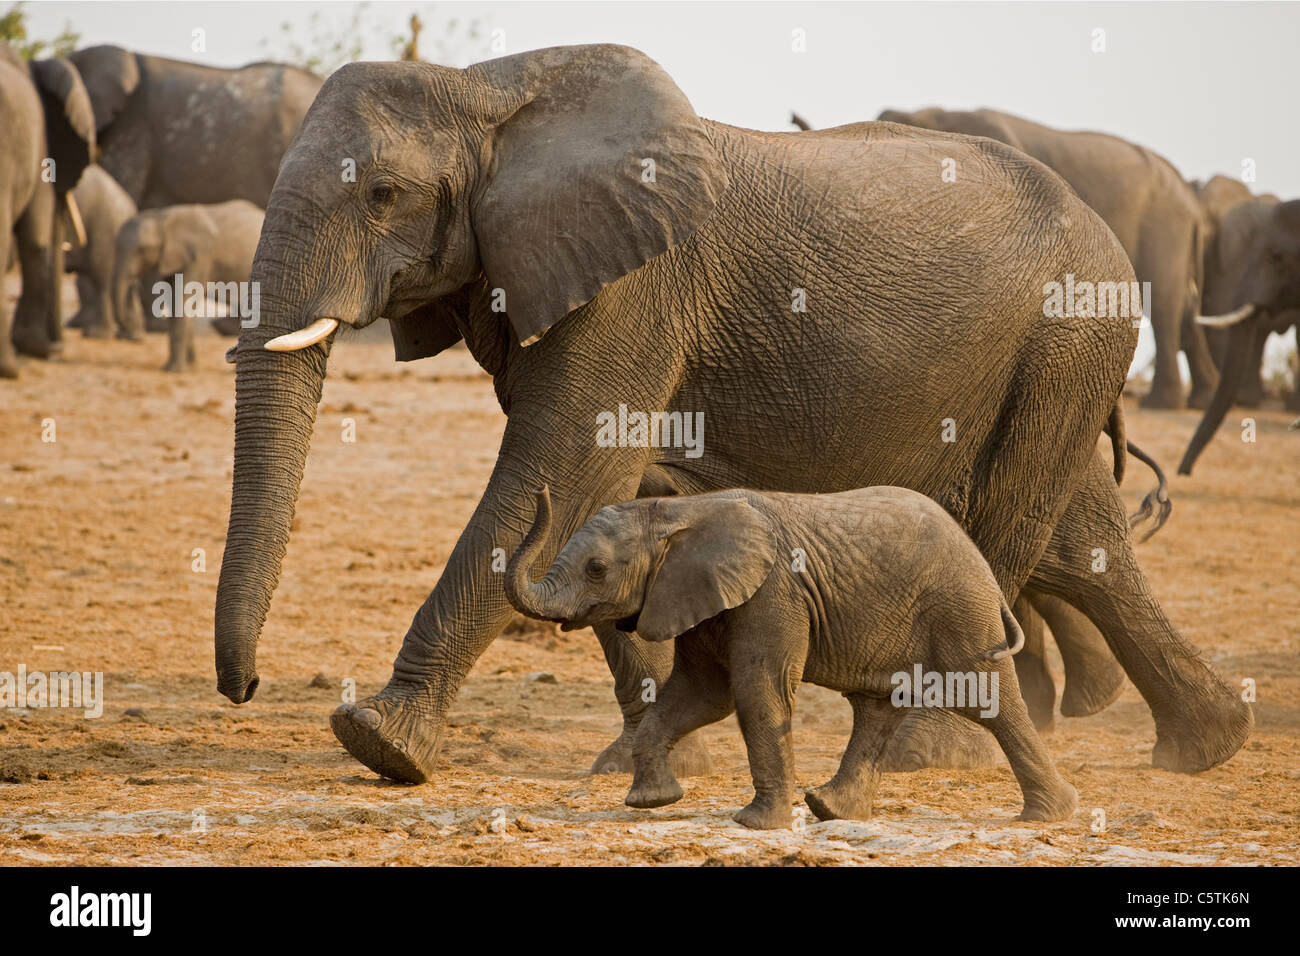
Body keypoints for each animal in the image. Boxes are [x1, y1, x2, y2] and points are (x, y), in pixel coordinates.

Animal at [113, 199, 264, 372]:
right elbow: (176, 304)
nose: (131, 337)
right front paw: (186, 368)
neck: (161, 216)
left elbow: (182, 301)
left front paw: (174, 371)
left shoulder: (199, 256)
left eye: (142, 249)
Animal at [505, 485, 1077, 828]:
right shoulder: (700, 595)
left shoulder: (772, 592)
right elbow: (701, 695)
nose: (541, 492)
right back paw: (831, 810)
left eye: (597, 569)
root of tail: (982, 564)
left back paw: (1050, 816)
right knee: (876, 707)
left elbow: (756, 689)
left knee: (985, 697)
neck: (679, 510)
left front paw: (754, 825)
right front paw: (652, 802)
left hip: (960, 607)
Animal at [877, 107, 1218, 410]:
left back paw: (1161, 405)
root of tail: (1191, 201)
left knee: (1162, 301)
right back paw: (1198, 400)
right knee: (1183, 306)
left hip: (1163, 227)